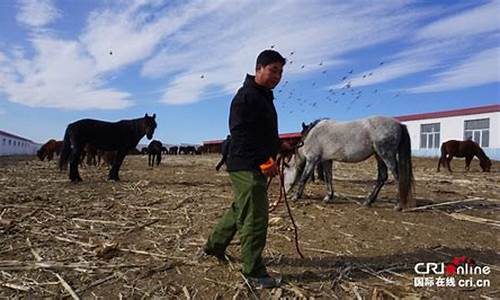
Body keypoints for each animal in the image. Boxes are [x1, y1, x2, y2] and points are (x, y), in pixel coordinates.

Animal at [284, 116, 416, 210]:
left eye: (284, 173)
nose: (284, 193)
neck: (312, 135)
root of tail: (399, 124)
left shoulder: (312, 160)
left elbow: (304, 178)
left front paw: (295, 197)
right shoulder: (326, 161)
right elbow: (328, 178)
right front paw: (328, 197)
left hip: (386, 155)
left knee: (398, 177)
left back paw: (399, 205)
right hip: (379, 156)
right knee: (382, 177)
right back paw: (368, 201)